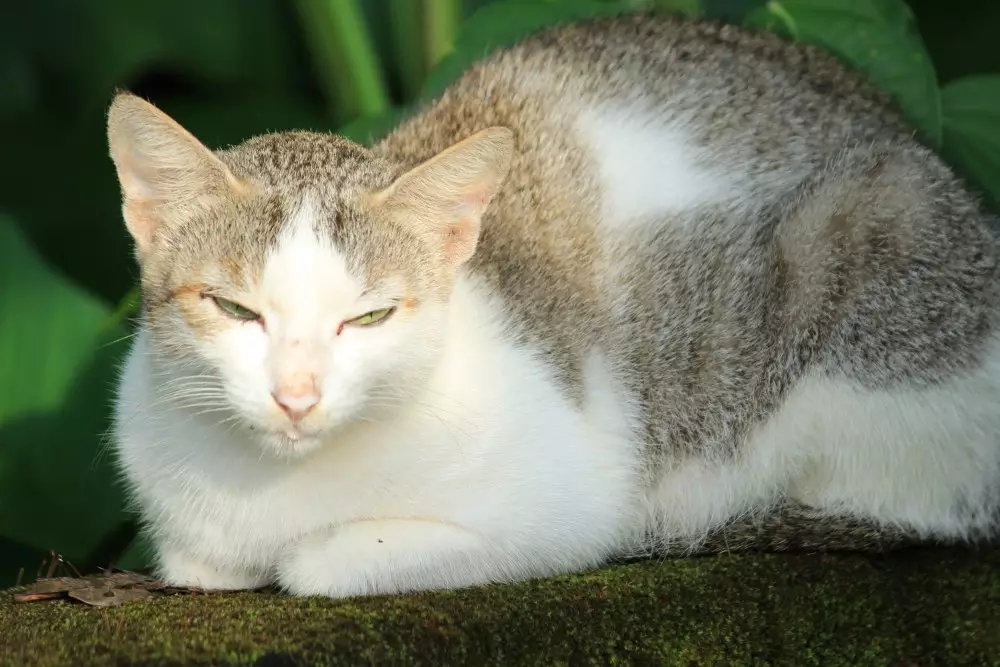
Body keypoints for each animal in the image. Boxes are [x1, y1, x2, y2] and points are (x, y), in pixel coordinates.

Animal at [107, 13, 1000, 596]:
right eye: (235, 309)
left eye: (368, 317)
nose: (297, 395)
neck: (263, 492)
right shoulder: (185, 533)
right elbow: (199, 565)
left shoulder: (566, 508)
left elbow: (321, 563)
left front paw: (315, 551)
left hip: (881, 227)